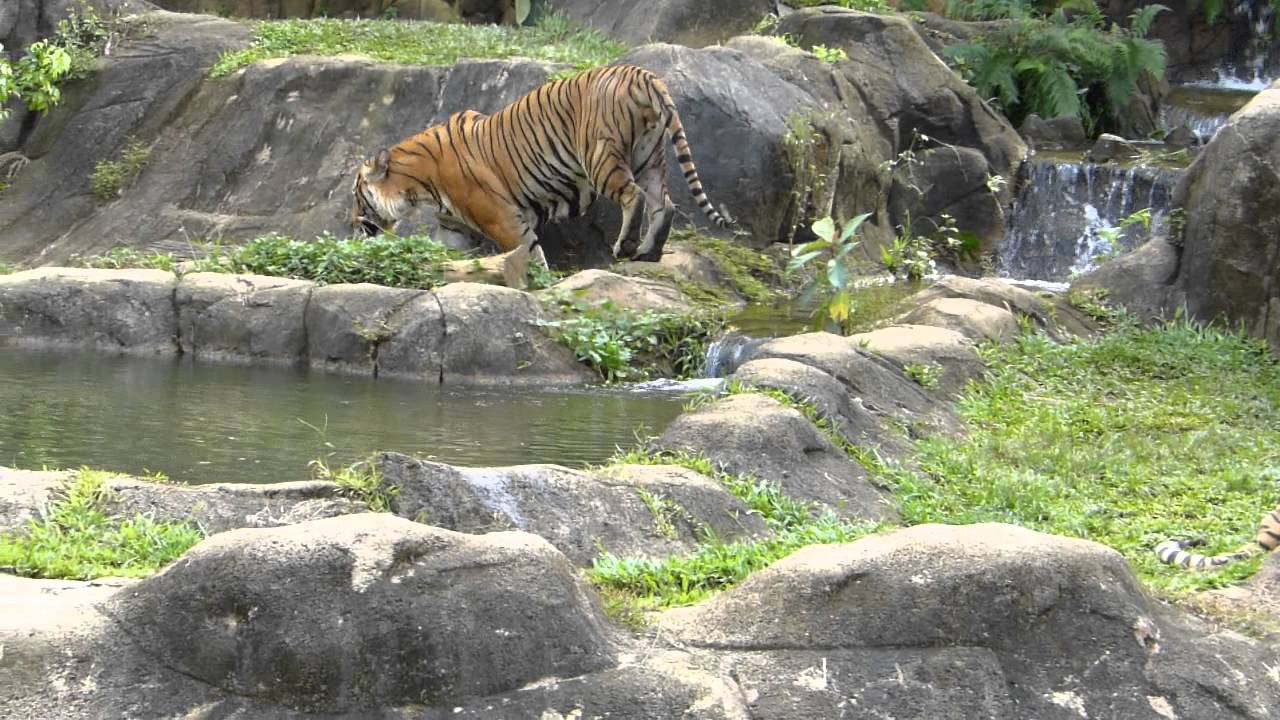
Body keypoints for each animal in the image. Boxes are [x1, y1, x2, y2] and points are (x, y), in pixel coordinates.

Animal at [350, 64, 733, 268]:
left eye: (356, 196)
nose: (352, 223)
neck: (420, 185)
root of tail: (641, 74)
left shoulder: (502, 218)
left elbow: (530, 252)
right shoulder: (456, 226)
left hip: (600, 157)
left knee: (633, 196)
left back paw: (626, 247)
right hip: (648, 157)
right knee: (665, 204)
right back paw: (648, 253)